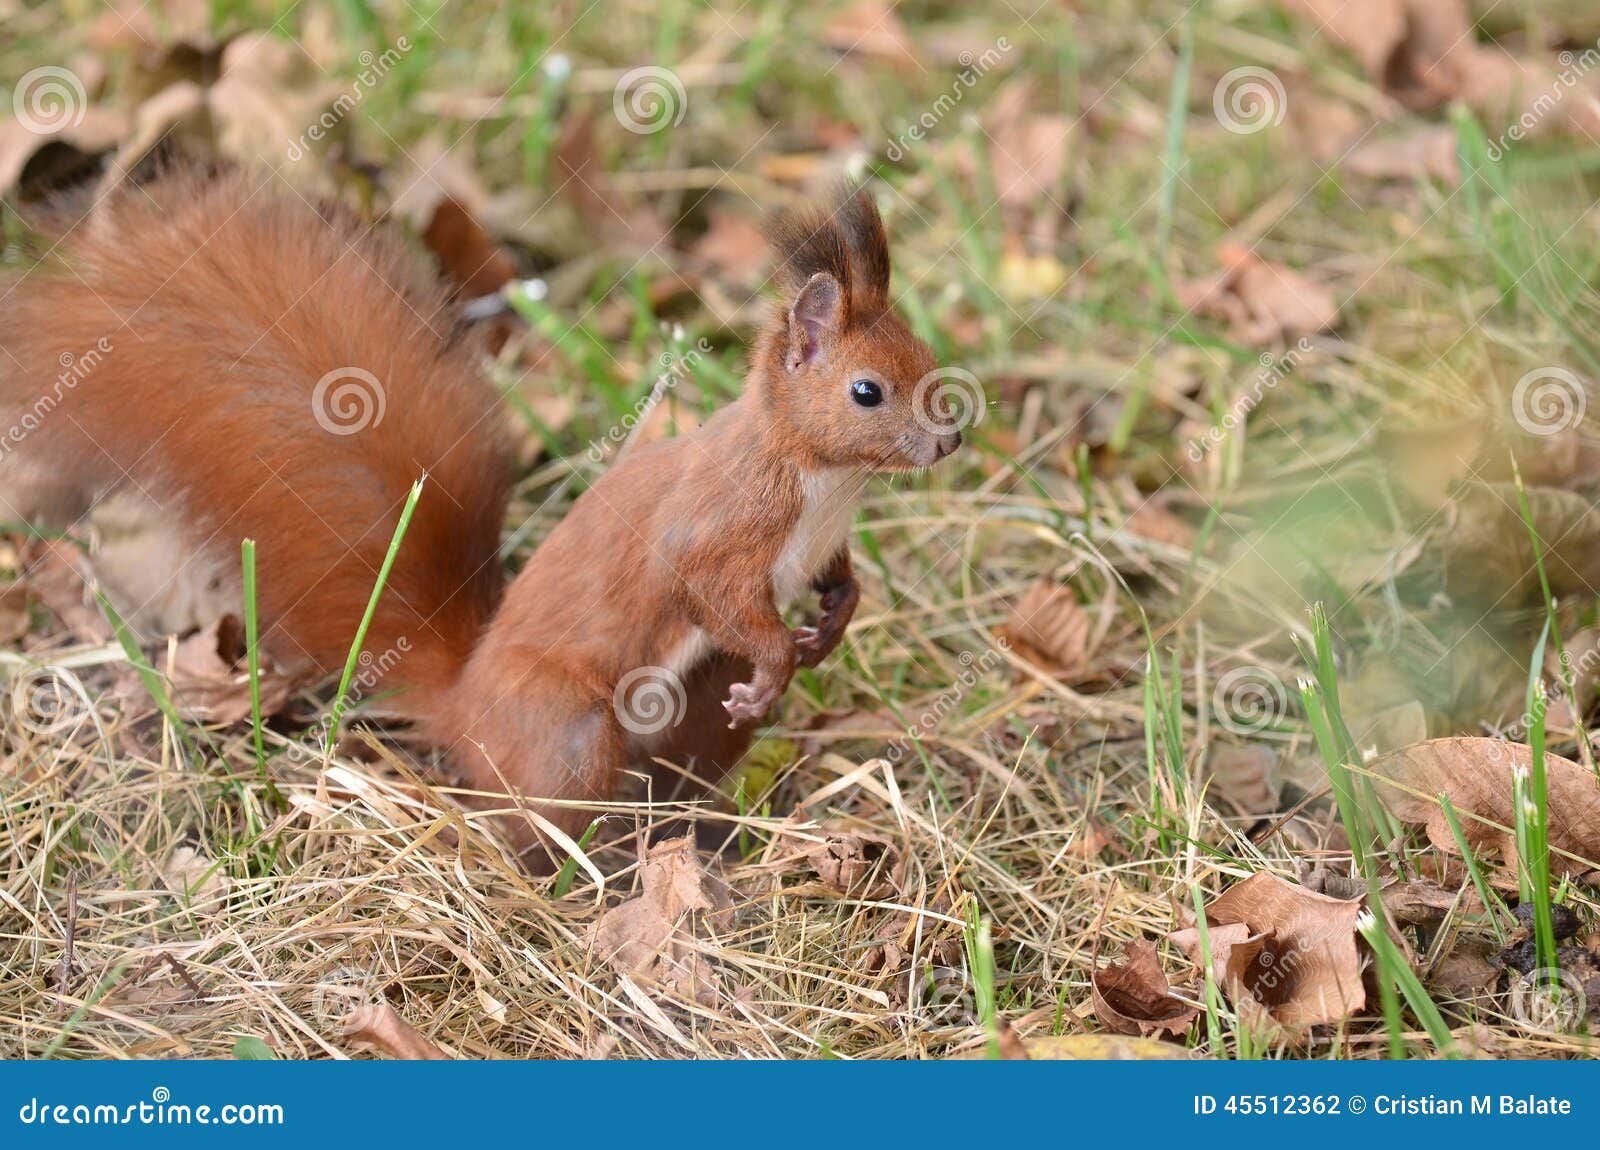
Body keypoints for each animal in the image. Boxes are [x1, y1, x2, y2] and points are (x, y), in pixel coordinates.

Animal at [0, 167, 960, 868]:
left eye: (925, 353)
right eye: (866, 391)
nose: (949, 441)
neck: (826, 483)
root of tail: (464, 710)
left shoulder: (819, 542)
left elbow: (841, 581)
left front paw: (831, 623)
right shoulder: (719, 530)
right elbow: (718, 597)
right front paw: (777, 662)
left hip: (685, 717)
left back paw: (695, 834)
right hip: (569, 730)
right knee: (534, 824)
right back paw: (590, 867)